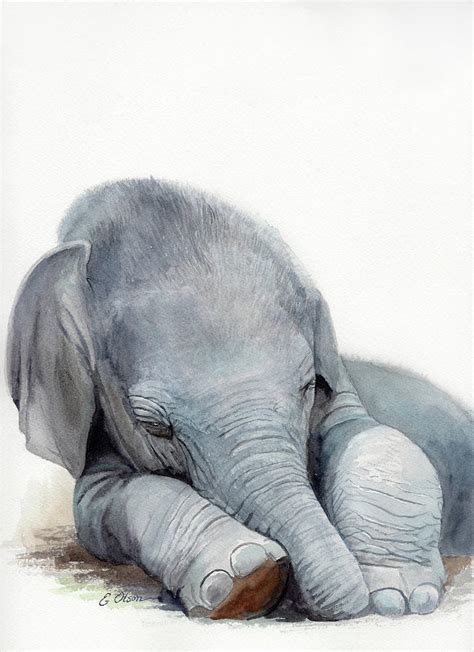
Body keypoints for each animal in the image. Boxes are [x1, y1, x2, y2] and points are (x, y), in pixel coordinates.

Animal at [7, 178, 473, 621]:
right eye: (153, 425)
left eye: (309, 386)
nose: (351, 607)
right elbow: (101, 502)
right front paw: (248, 578)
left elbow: (374, 438)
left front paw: (401, 597)